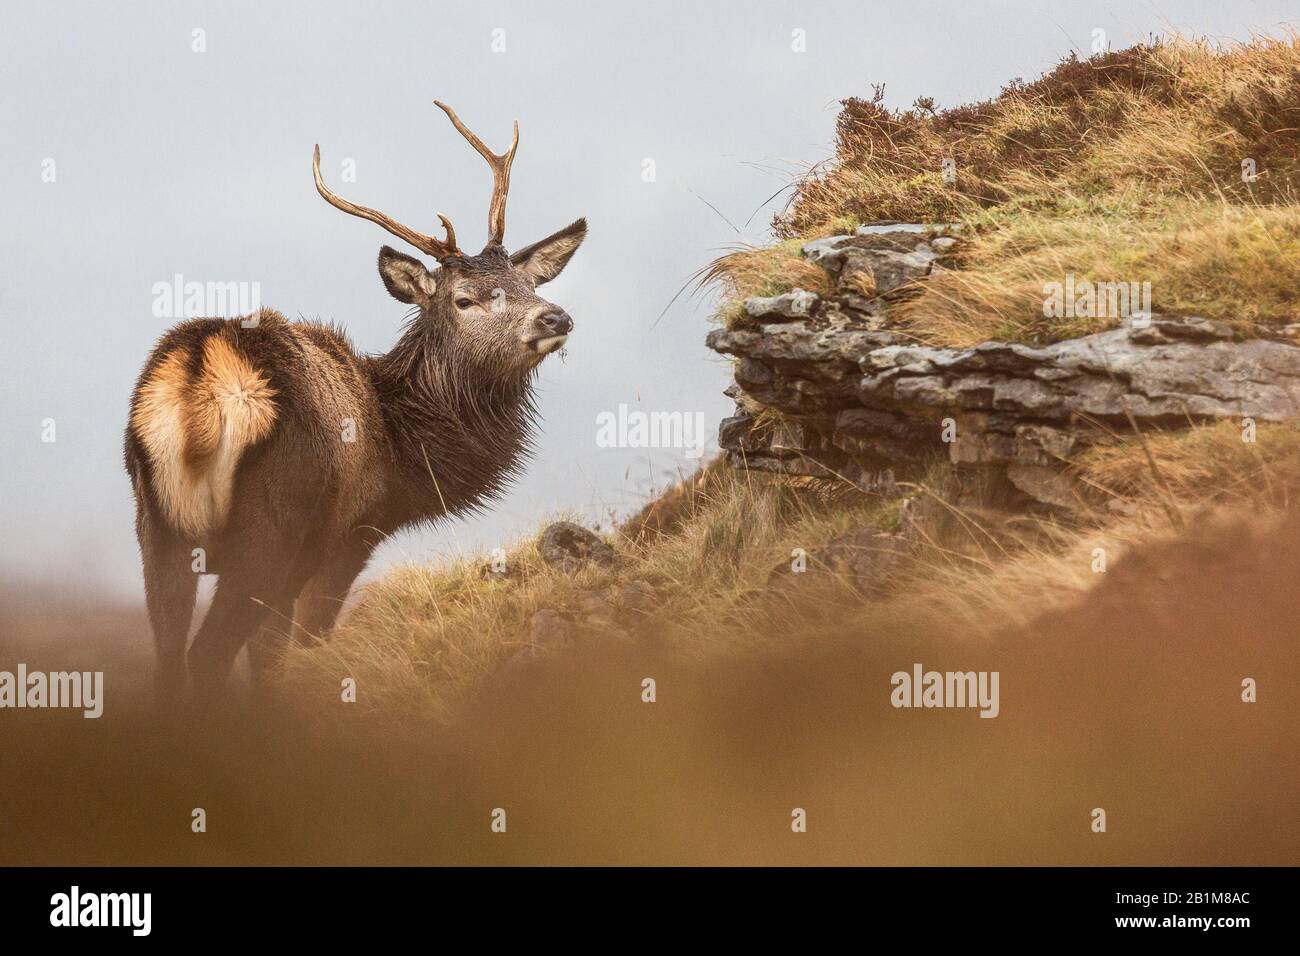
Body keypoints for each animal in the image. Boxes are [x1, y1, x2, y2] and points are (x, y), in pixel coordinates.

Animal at [124, 102, 587, 708]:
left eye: (529, 283)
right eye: (463, 299)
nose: (555, 317)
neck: (402, 449)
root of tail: (201, 367)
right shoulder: (350, 534)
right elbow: (293, 650)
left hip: (156, 525)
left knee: (168, 661)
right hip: (271, 521)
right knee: (206, 657)